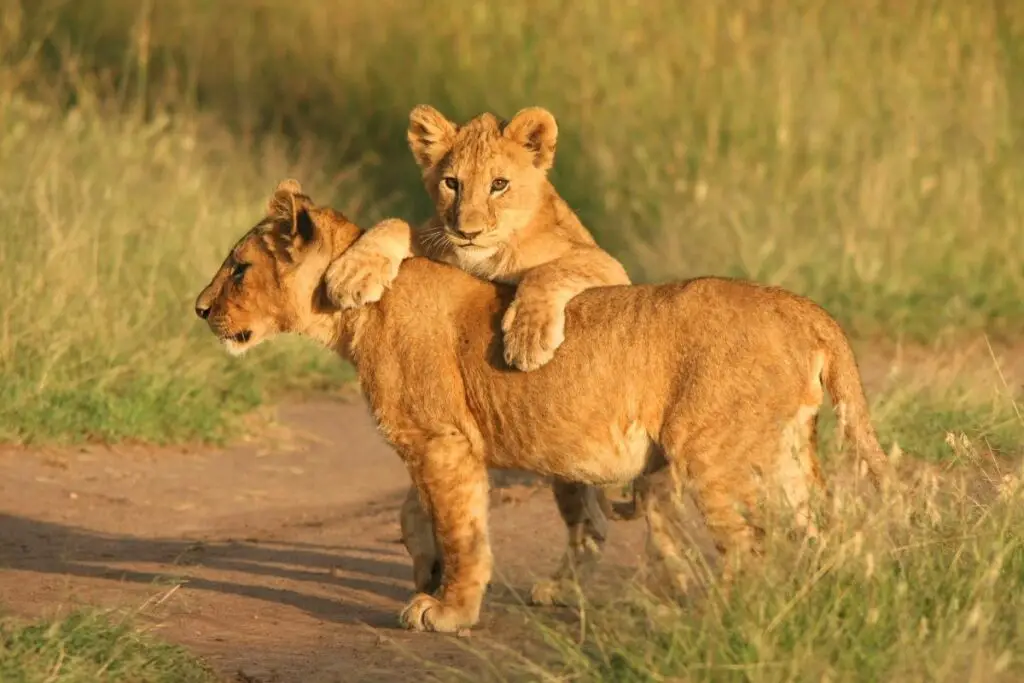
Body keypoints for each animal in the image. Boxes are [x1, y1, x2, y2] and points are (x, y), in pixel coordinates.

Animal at [194, 181, 895, 634]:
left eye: (238, 268)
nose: (199, 309)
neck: (351, 316)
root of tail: (802, 307)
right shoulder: (457, 442)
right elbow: (414, 514)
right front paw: (427, 573)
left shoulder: (440, 441)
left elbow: (460, 528)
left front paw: (448, 611)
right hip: (784, 453)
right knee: (820, 533)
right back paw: (819, 605)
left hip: (712, 452)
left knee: (748, 545)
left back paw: (715, 624)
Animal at [323, 105, 636, 606]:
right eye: (452, 183)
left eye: (499, 184)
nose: (466, 231)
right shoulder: (437, 242)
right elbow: (397, 224)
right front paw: (354, 271)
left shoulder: (607, 267)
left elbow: (550, 271)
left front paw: (527, 339)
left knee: (596, 521)